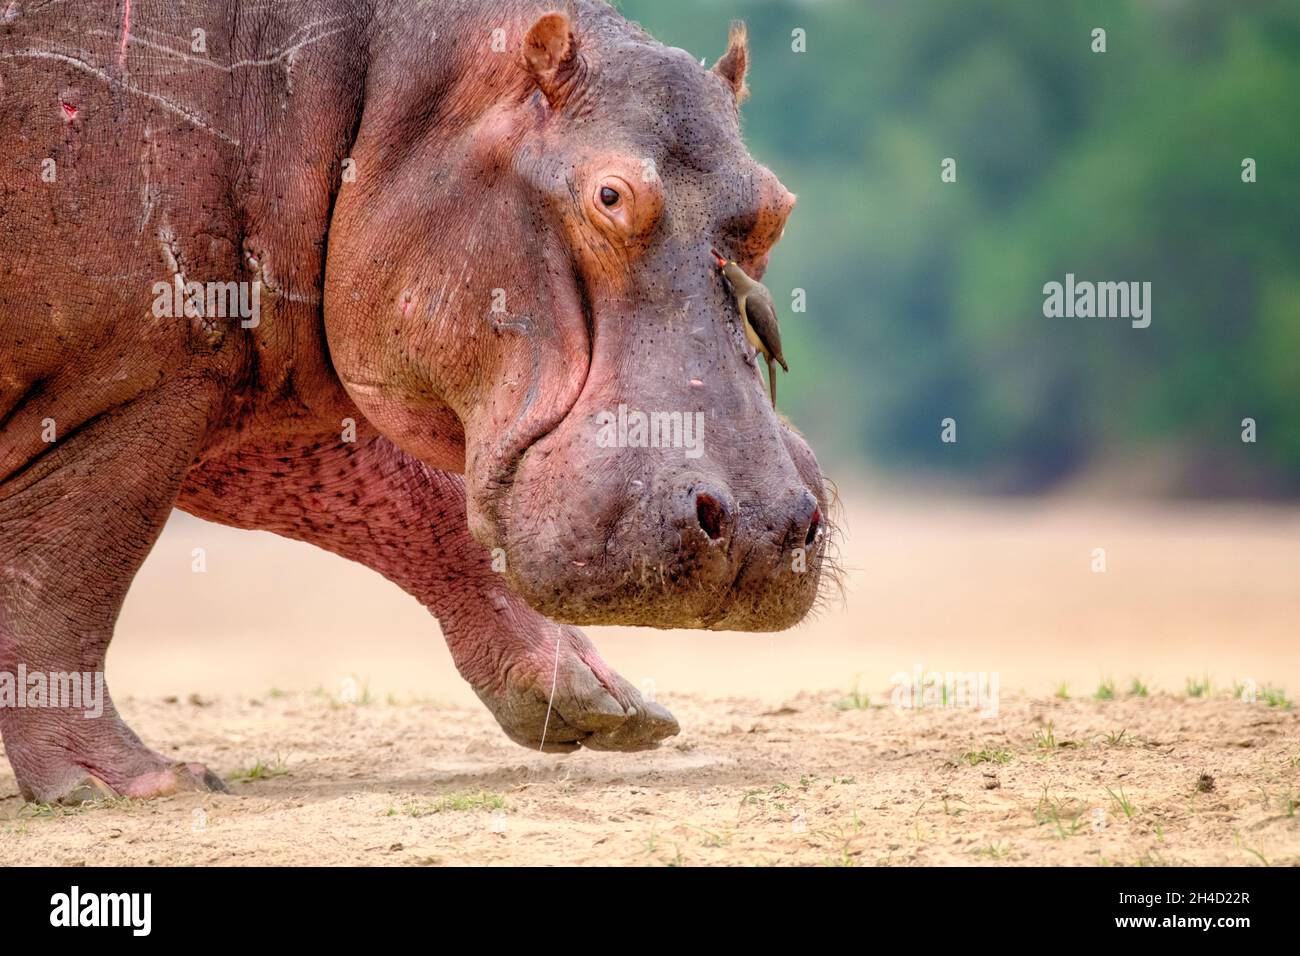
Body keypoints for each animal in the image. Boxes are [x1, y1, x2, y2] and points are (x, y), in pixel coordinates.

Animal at [0, 0, 828, 804]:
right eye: (610, 195)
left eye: (782, 206)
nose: (760, 526)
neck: (388, 91)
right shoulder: (133, 386)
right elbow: (69, 575)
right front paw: (137, 783)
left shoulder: (266, 376)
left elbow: (421, 500)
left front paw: (612, 706)